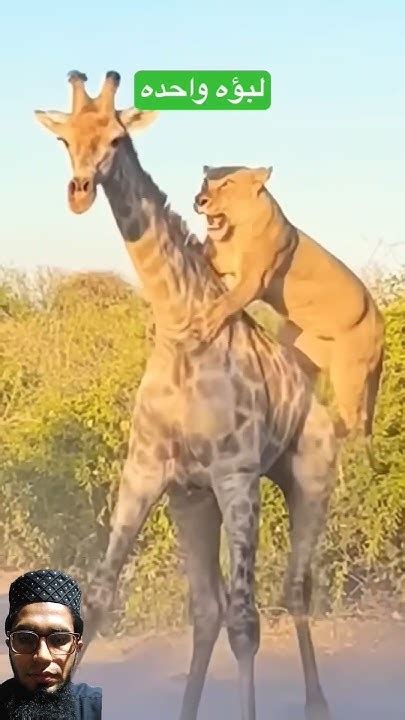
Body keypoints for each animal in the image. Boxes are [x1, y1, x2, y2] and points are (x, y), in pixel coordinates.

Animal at [191, 164, 385, 469]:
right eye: (205, 182)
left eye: (227, 183)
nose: (200, 200)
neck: (235, 231)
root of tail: (382, 324)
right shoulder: (215, 260)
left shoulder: (254, 279)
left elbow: (228, 301)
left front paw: (206, 325)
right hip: (300, 355)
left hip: (349, 372)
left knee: (354, 418)